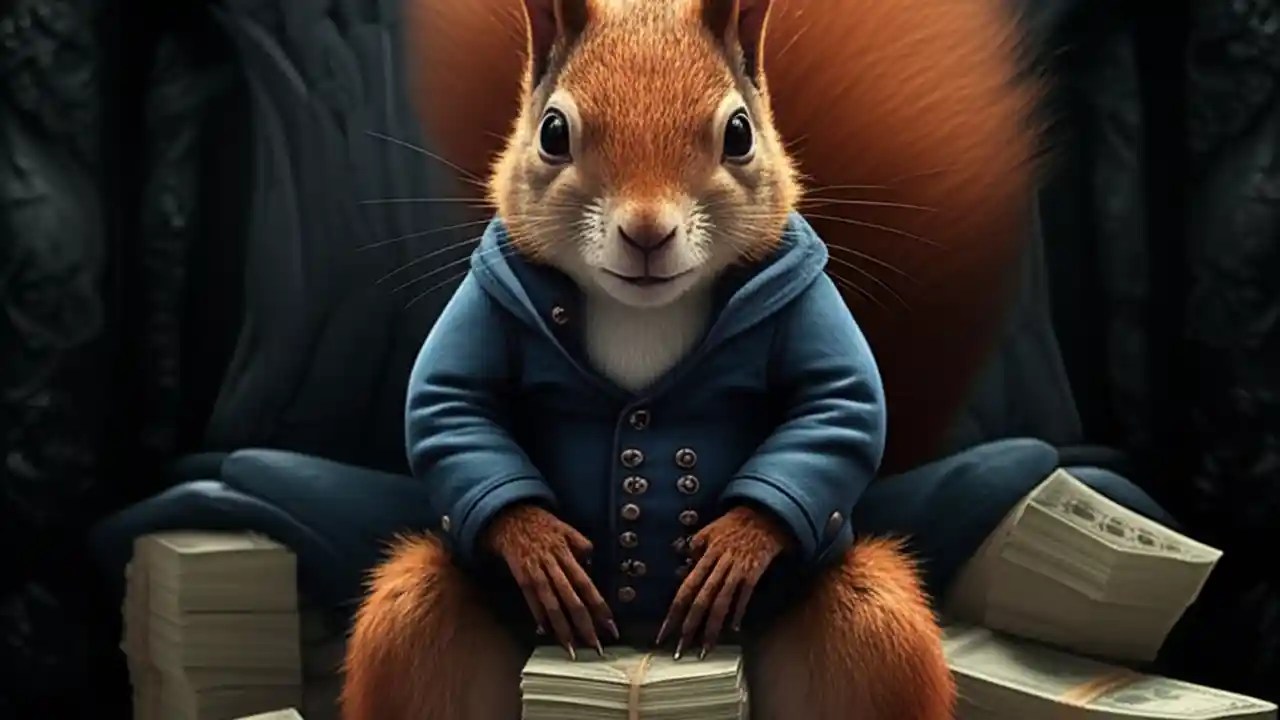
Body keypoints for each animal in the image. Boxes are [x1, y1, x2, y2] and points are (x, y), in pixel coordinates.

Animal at [343, 0, 1038, 719]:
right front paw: (538, 545)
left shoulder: (807, 298)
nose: (647, 232)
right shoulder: (488, 292)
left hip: (864, 625)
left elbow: (839, 403)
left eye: (739, 132)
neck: (643, 311)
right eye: (553, 132)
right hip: (423, 622)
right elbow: (449, 402)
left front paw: (739, 544)